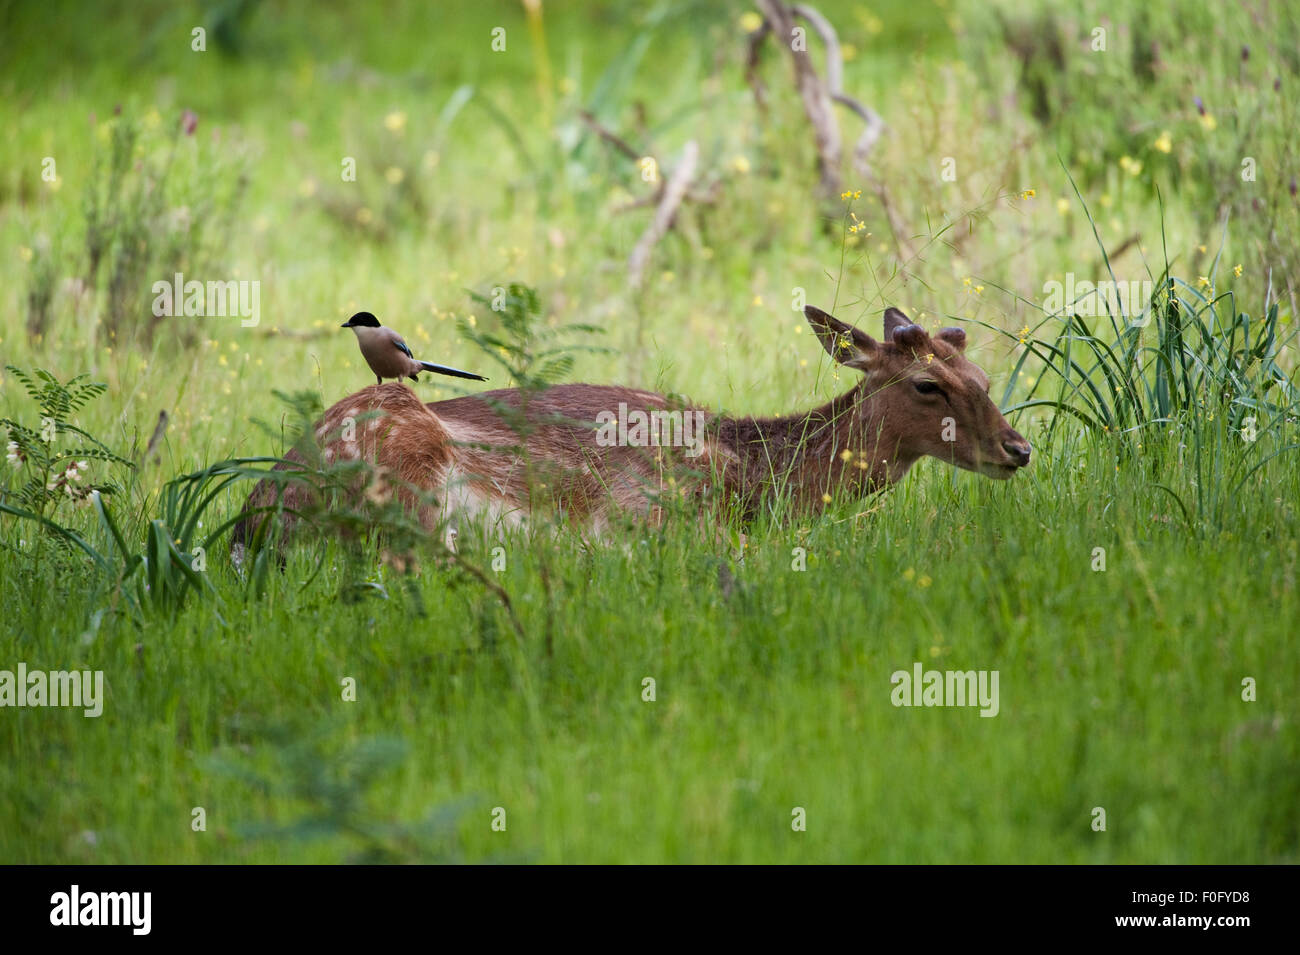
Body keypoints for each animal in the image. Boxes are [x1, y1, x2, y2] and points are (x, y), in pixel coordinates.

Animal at [229, 305, 1030, 561]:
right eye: (927, 385)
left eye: (983, 372)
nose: (1018, 448)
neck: (754, 473)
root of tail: (254, 521)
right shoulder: (649, 506)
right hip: (408, 478)